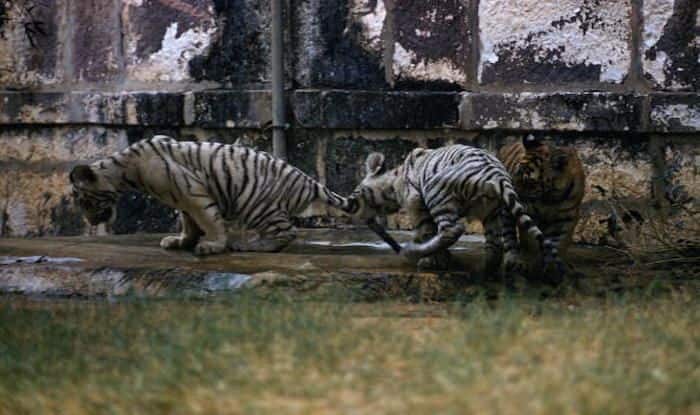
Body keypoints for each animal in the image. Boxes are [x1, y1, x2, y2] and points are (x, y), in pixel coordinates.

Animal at [69, 135, 356, 256]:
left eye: (84, 201)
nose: (91, 222)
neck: (125, 170)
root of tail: (306, 180)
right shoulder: (181, 199)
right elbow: (188, 223)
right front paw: (181, 241)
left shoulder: (192, 192)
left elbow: (209, 221)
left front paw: (212, 246)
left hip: (254, 204)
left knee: (287, 232)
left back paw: (250, 245)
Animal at [346, 144, 563, 278]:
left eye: (356, 194)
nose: (355, 211)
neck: (393, 181)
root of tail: (496, 174)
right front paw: (440, 258)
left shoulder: (416, 202)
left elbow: (425, 231)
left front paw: (432, 260)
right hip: (493, 211)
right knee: (494, 244)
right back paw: (485, 271)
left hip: (436, 191)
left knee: (452, 230)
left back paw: (413, 252)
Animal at [498, 134, 585, 273]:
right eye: (516, 174)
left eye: (530, 182)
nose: (512, 194)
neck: (550, 198)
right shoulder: (528, 213)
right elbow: (530, 241)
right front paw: (530, 263)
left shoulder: (567, 218)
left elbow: (559, 242)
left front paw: (553, 266)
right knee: (508, 233)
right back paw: (513, 259)